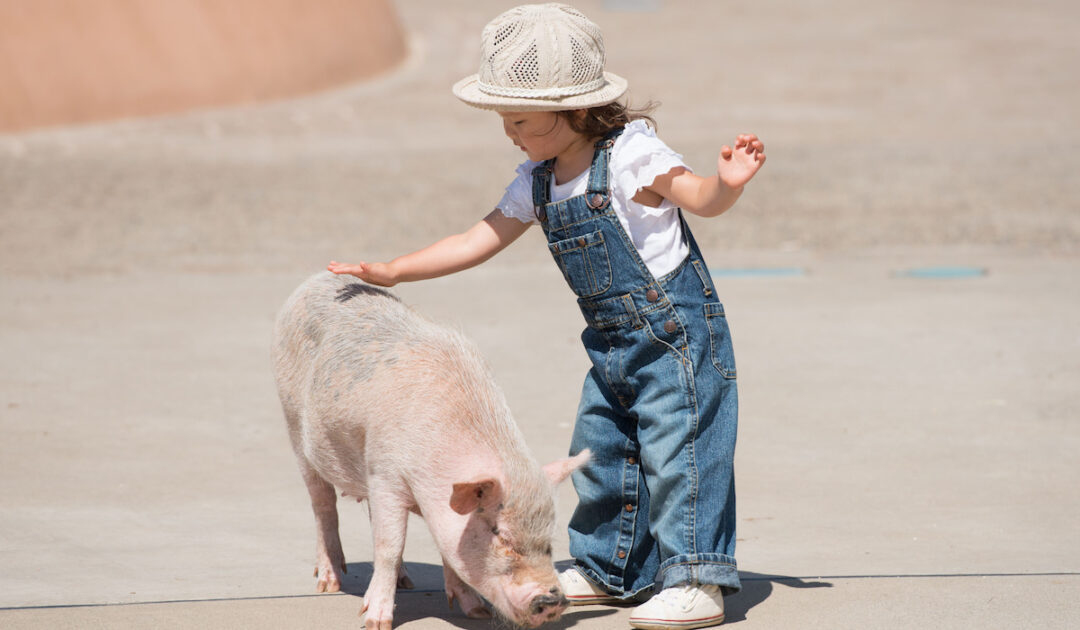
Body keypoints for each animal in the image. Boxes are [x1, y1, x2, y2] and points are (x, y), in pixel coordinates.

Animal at [271, 272, 586, 629]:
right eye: (499, 533)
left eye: (548, 537)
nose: (553, 599)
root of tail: (318, 278)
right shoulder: (386, 475)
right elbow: (390, 545)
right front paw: (375, 622)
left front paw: (475, 611)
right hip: (294, 426)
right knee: (323, 506)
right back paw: (328, 584)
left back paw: (405, 582)